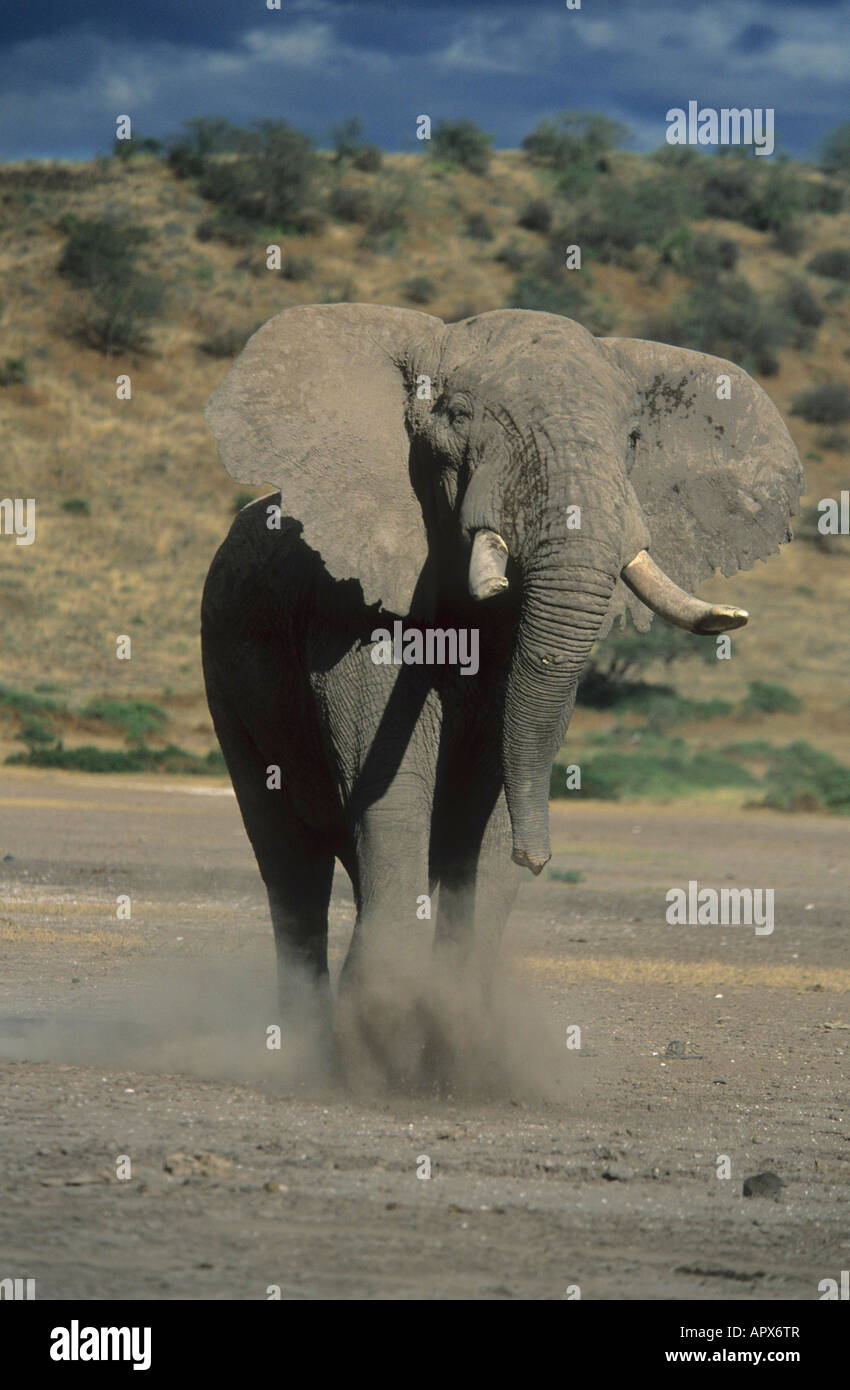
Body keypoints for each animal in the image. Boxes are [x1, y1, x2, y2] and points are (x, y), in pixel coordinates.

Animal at [200, 303, 803, 1057]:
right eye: (458, 417)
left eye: (634, 438)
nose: (537, 859)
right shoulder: (349, 613)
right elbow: (390, 792)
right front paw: (382, 1034)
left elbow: (486, 810)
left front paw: (461, 1039)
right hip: (224, 676)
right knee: (289, 863)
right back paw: (304, 1045)